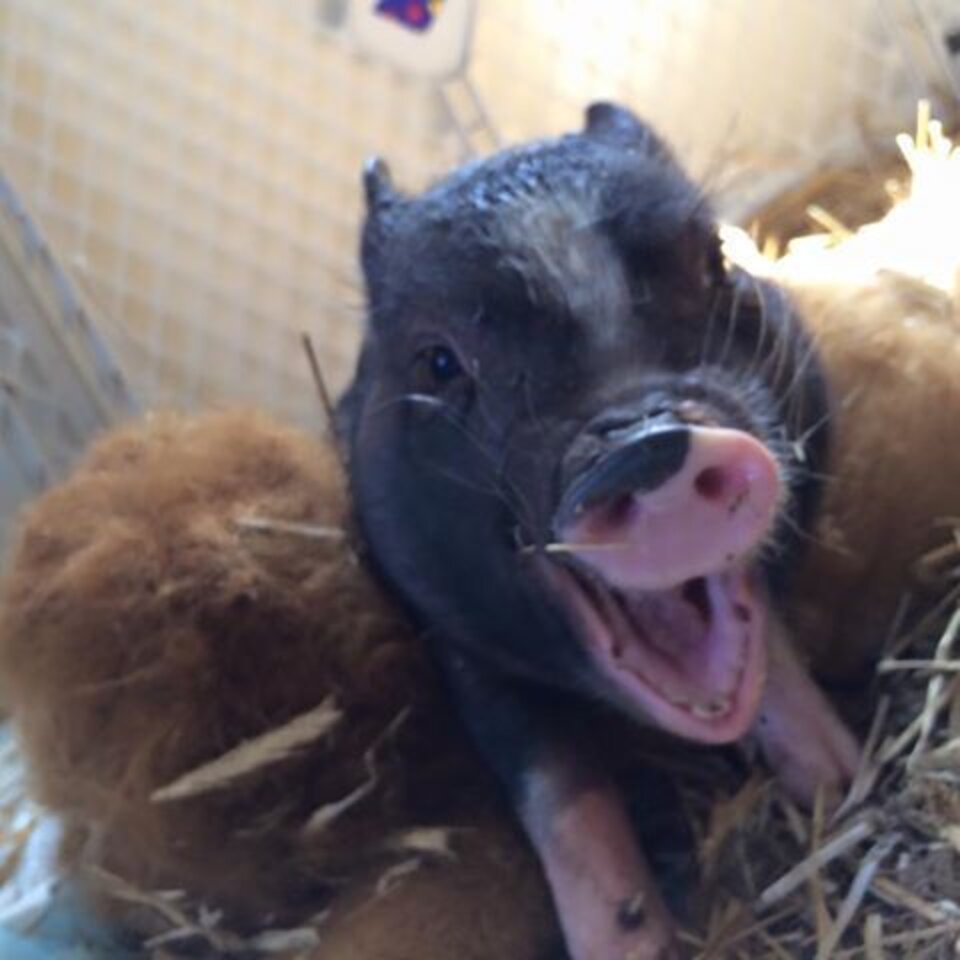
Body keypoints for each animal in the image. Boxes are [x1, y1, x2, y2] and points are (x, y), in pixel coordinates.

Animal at [338, 102, 860, 959]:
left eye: (716, 265)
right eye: (439, 362)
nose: (650, 445)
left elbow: (767, 641)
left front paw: (839, 781)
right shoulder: (452, 638)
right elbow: (554, 781)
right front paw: (629, 945)